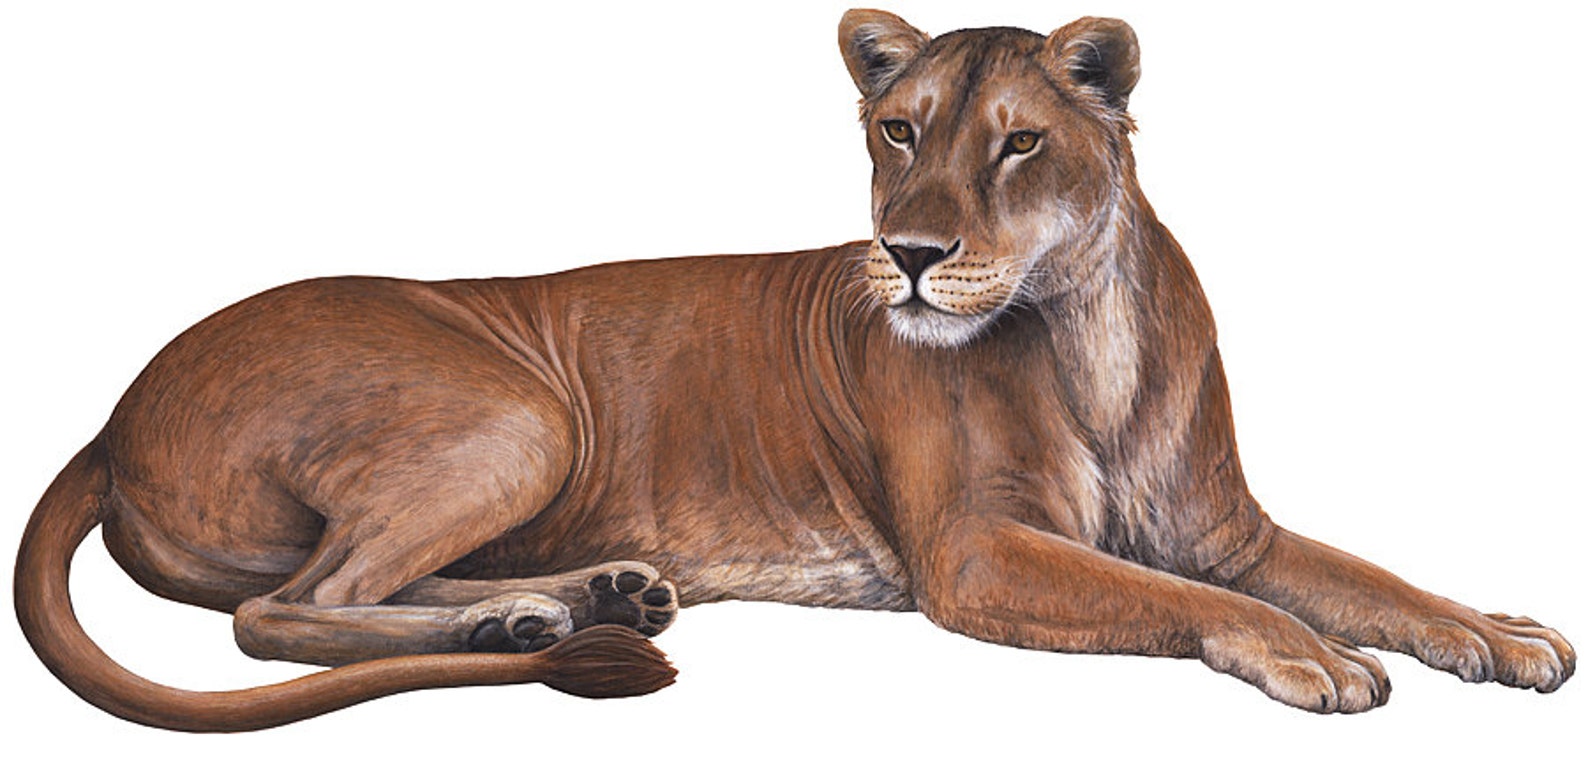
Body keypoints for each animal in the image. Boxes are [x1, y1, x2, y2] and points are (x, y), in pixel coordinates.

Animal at [14, 10, 1574, 731]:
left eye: (1017, 141)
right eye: (897, 128)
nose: (910, 253)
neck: (1086, 327)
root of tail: (112, 410)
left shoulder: (1228, 528)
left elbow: (1372, 575)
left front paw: (1502, 633)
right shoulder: (974, 555)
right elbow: (1185, 601)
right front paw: (1318, 659)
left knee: (356, 589)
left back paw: (577, 601)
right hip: (514, 411)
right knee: (278, 611)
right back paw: (547, 616)